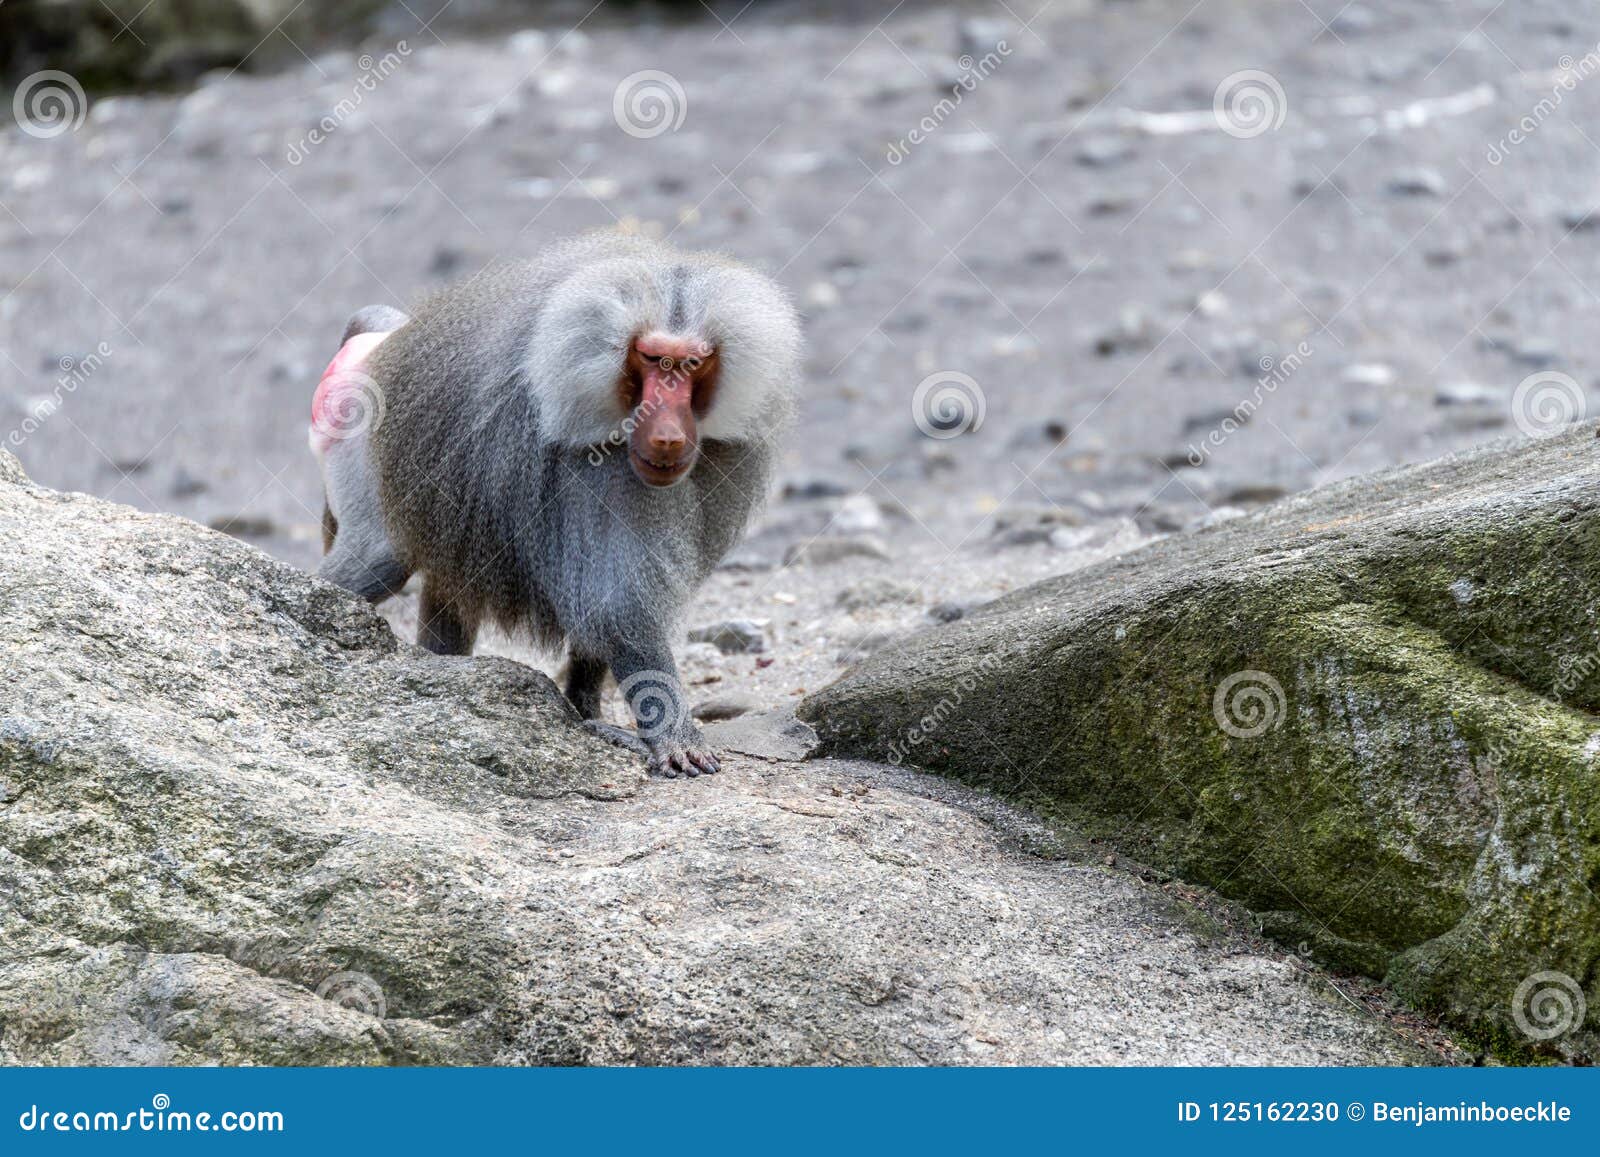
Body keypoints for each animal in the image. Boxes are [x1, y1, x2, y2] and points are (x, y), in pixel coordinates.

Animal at [308, 231, 801, 778]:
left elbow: (605, 608)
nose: (669, 436)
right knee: (378, 560)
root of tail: (378, 343)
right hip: (360, 451)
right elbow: (617, 601)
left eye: (691, 364)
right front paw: (674, 734)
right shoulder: (597, 466)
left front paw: (591, 712)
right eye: (652, 360)